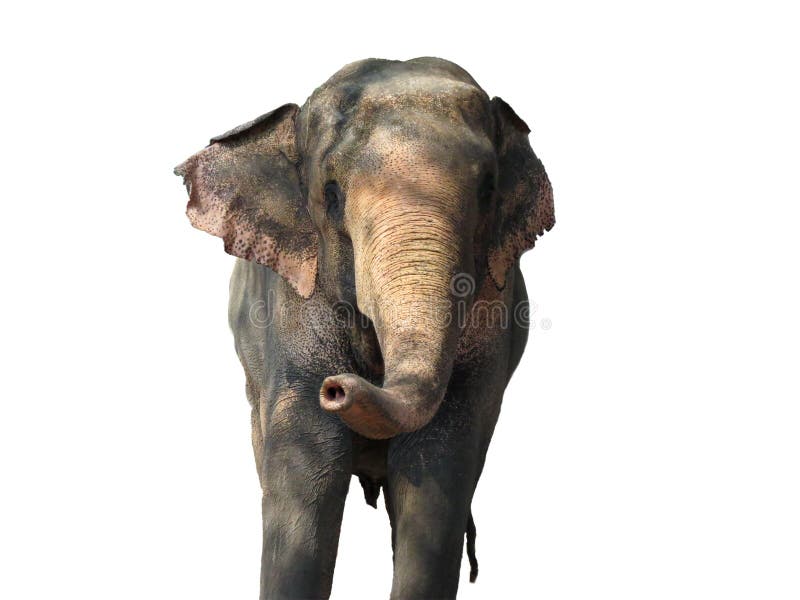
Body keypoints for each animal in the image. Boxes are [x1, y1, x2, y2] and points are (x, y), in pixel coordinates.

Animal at [175, 57, 554, 600]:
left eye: (487, 189)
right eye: (331, 194)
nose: (338, 387)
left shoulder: (491, 312)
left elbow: (436, 466)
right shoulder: (292, 305)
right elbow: (307, 470)